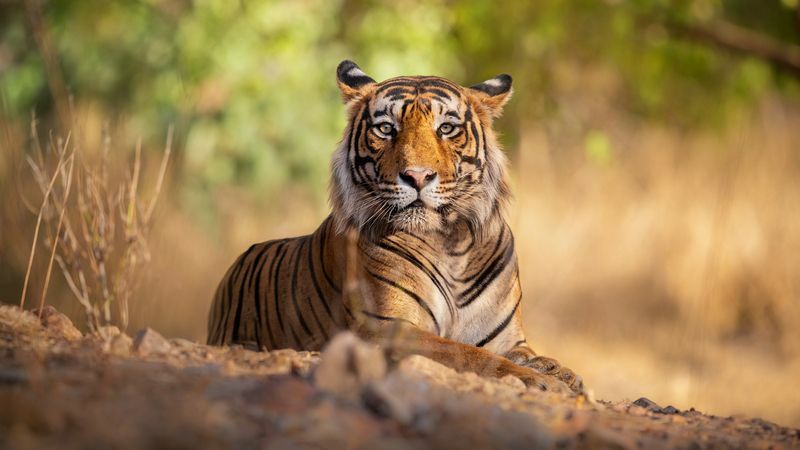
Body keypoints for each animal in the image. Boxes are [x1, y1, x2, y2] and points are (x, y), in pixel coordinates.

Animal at [206, 59, 580, 390]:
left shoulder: (506, 338)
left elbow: (522, 355)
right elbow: (466, 354)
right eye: (386, 129)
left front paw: (560, 373)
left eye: (446, 128)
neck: (451, 245)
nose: (417, 176)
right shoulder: (387, 328)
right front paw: (539, 380)